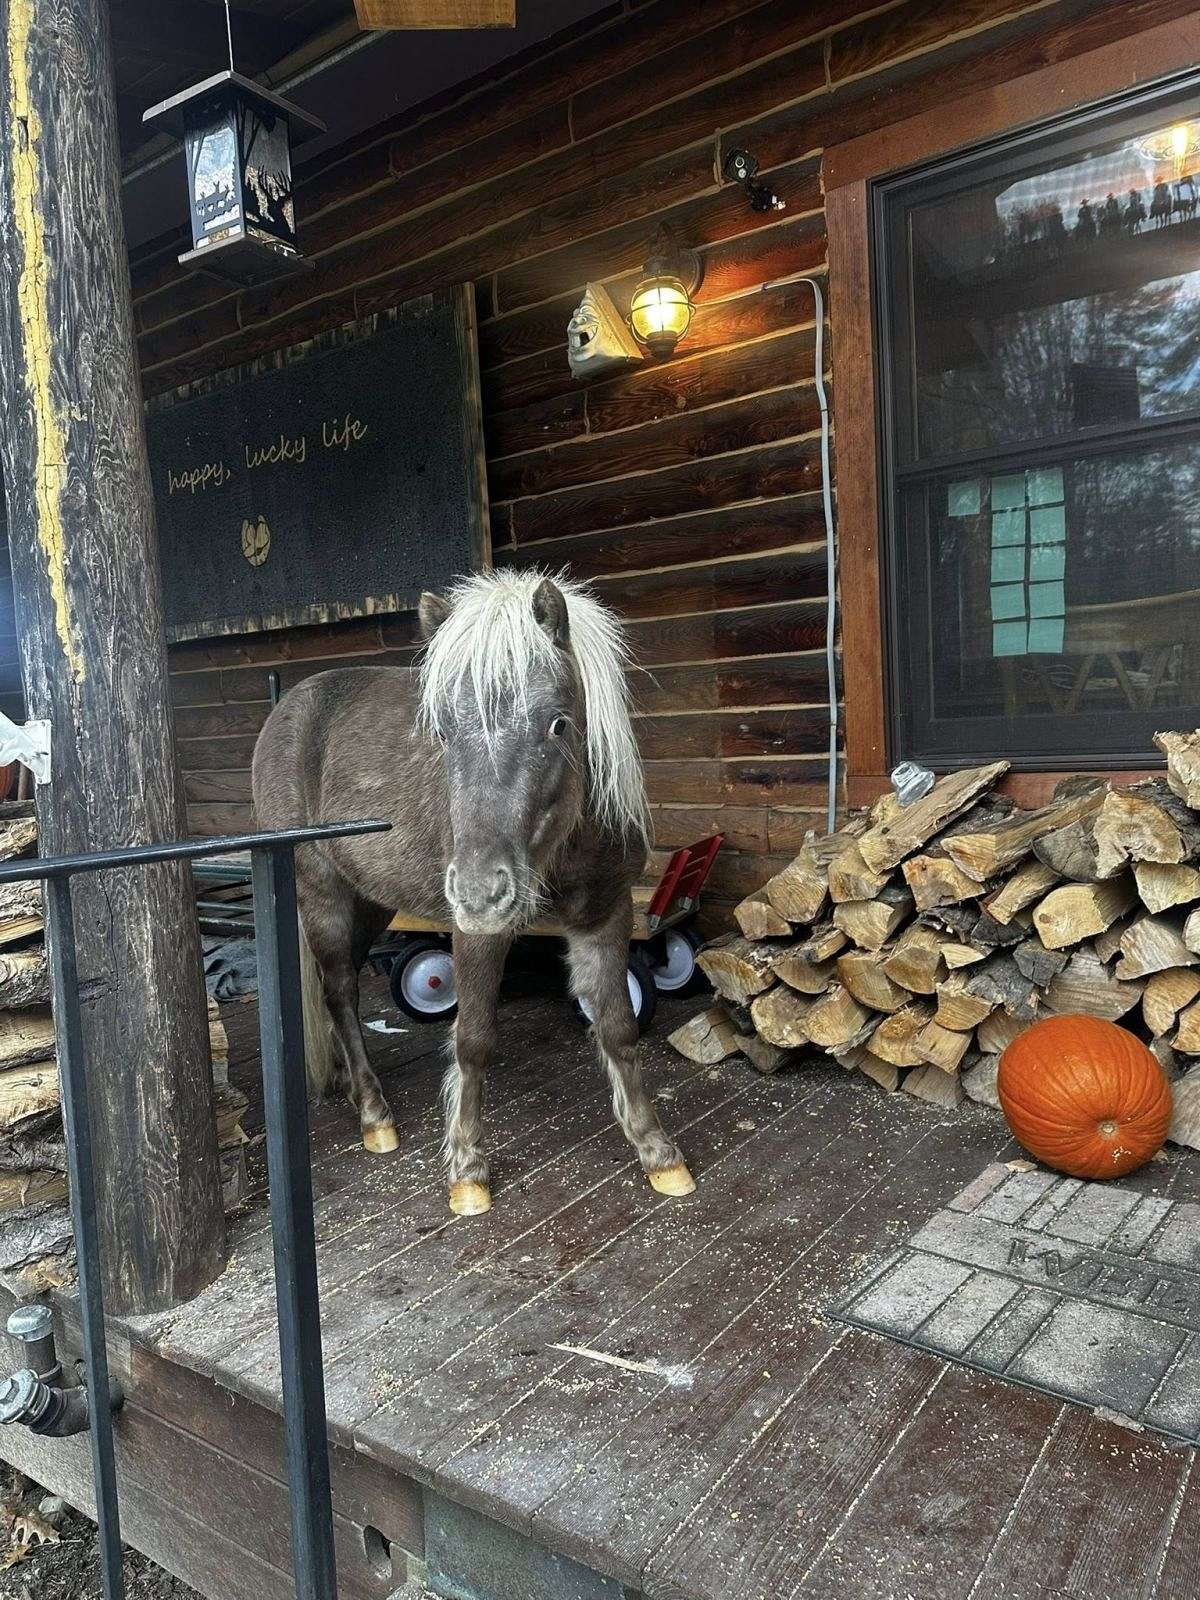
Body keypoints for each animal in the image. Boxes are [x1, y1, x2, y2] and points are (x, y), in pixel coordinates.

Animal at [251, 569, 695, 1217]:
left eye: (558, 723)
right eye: (441, 731)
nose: (481, 891)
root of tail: (289, 706)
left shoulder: (605, 915)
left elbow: (617, 1026)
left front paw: (657, 1151)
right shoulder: (477, 931)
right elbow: (473, 1038)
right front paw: (466, 1168)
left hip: (372, 901)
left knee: (343, 993)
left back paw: (342, 1081)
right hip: (323, 892)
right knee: (339, 991)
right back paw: (374, 1114)